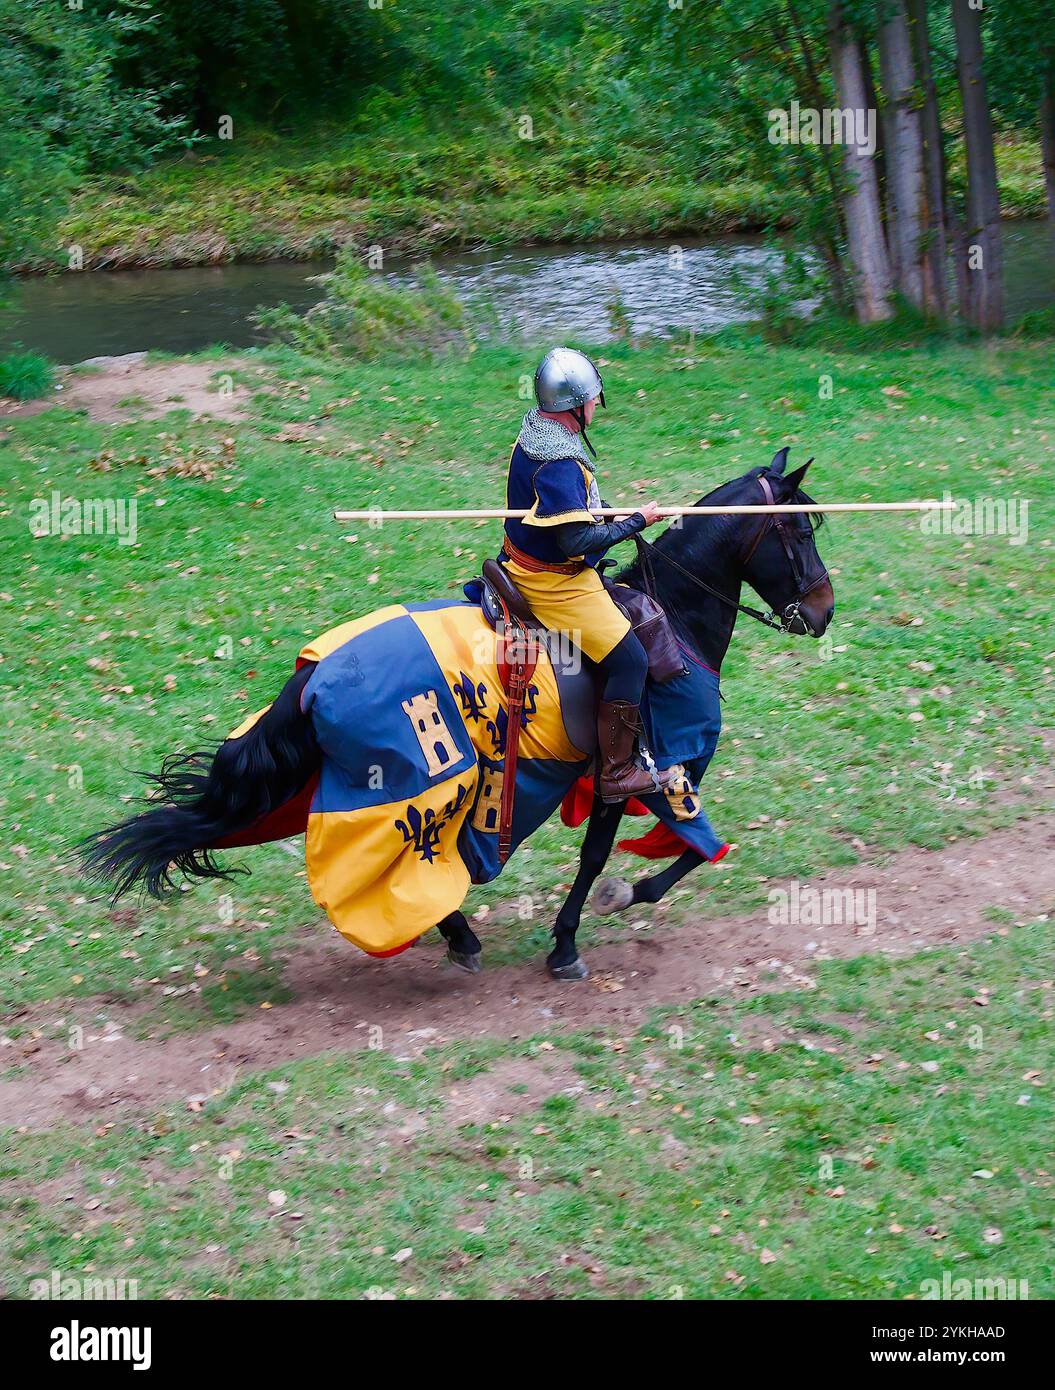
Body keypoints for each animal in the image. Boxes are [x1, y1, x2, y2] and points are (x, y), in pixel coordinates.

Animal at [81, 449, 834, 981]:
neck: (673, 615)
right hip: (415, 789)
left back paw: (456, 934)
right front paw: (589, 923)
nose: (822, 612)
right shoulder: (656, 768)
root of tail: (315, 676)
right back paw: (459, 933)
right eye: (798, 530)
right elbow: (654, 851)